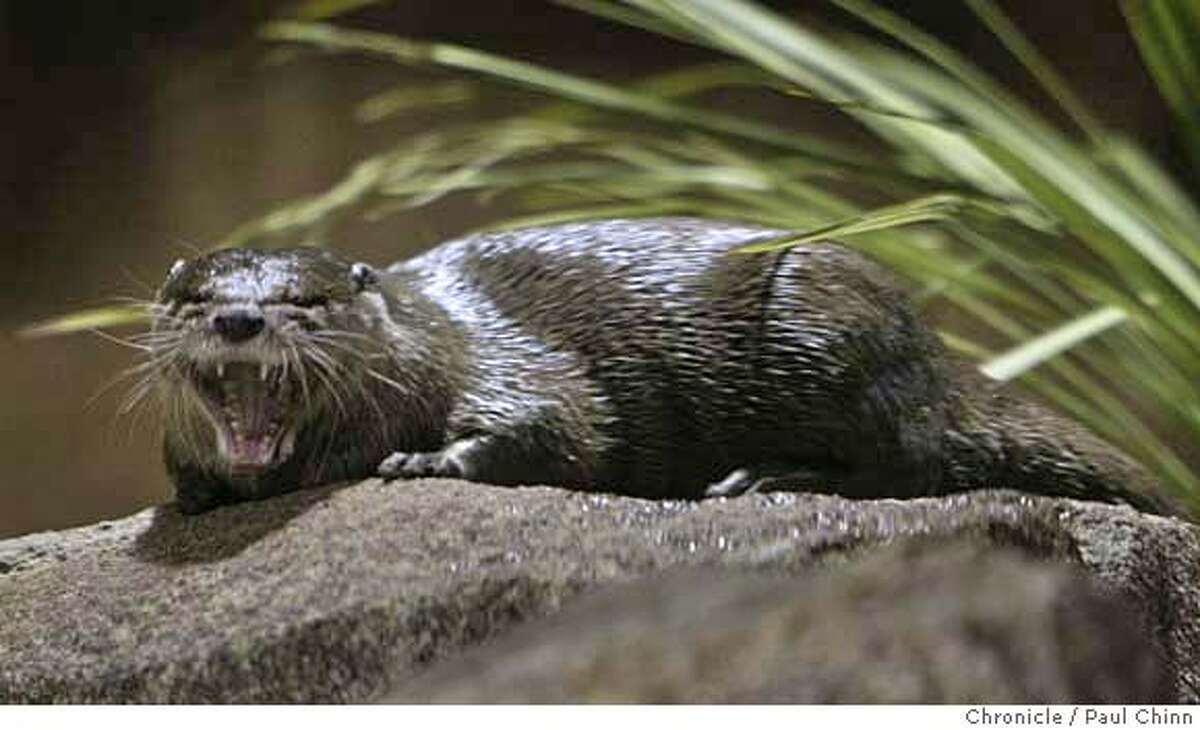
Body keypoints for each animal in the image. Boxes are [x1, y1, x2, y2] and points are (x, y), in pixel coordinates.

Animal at [146, 218, 1174, 515]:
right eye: (191, 298)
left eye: (305, 302)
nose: (239, 318)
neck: (423, 344)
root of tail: (932, 351)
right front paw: (191, 495)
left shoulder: (497, 358)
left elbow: (562, 423)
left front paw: (423, 459)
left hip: (826, 330)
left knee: (911, 464)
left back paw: (757, 476)